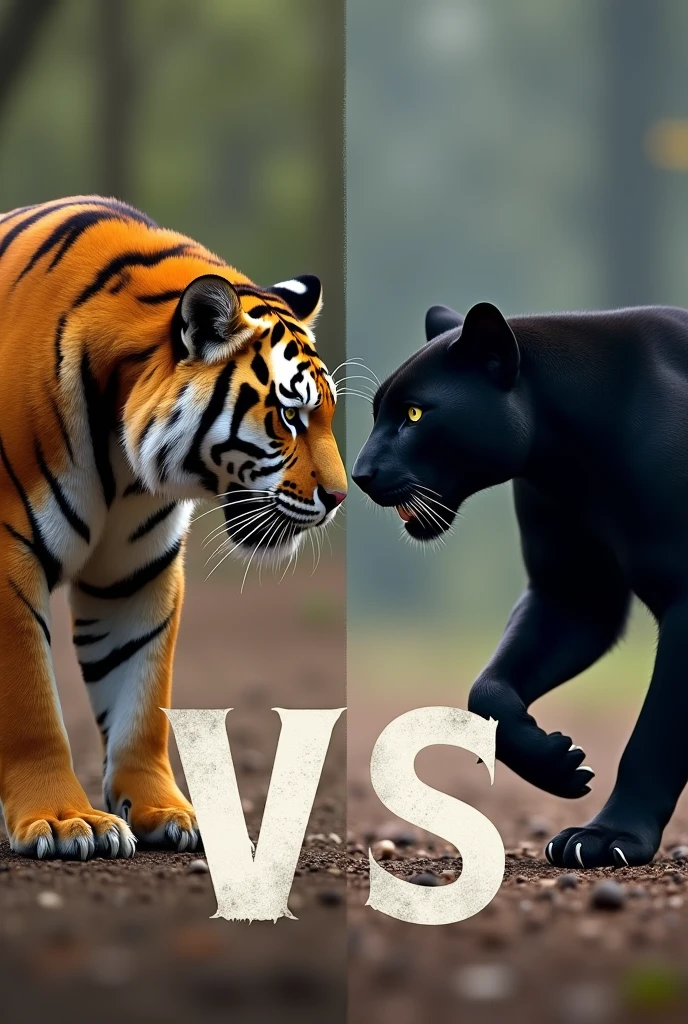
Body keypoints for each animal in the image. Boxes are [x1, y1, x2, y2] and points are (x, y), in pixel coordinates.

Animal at [0, 196, 346, 860]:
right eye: (290, 415)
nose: (342, 497)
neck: (120, 453)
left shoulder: (136, 573)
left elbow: (141, 695)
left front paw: (165, 811)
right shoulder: (8, 559)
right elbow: (30, 705)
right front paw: (61, 819)